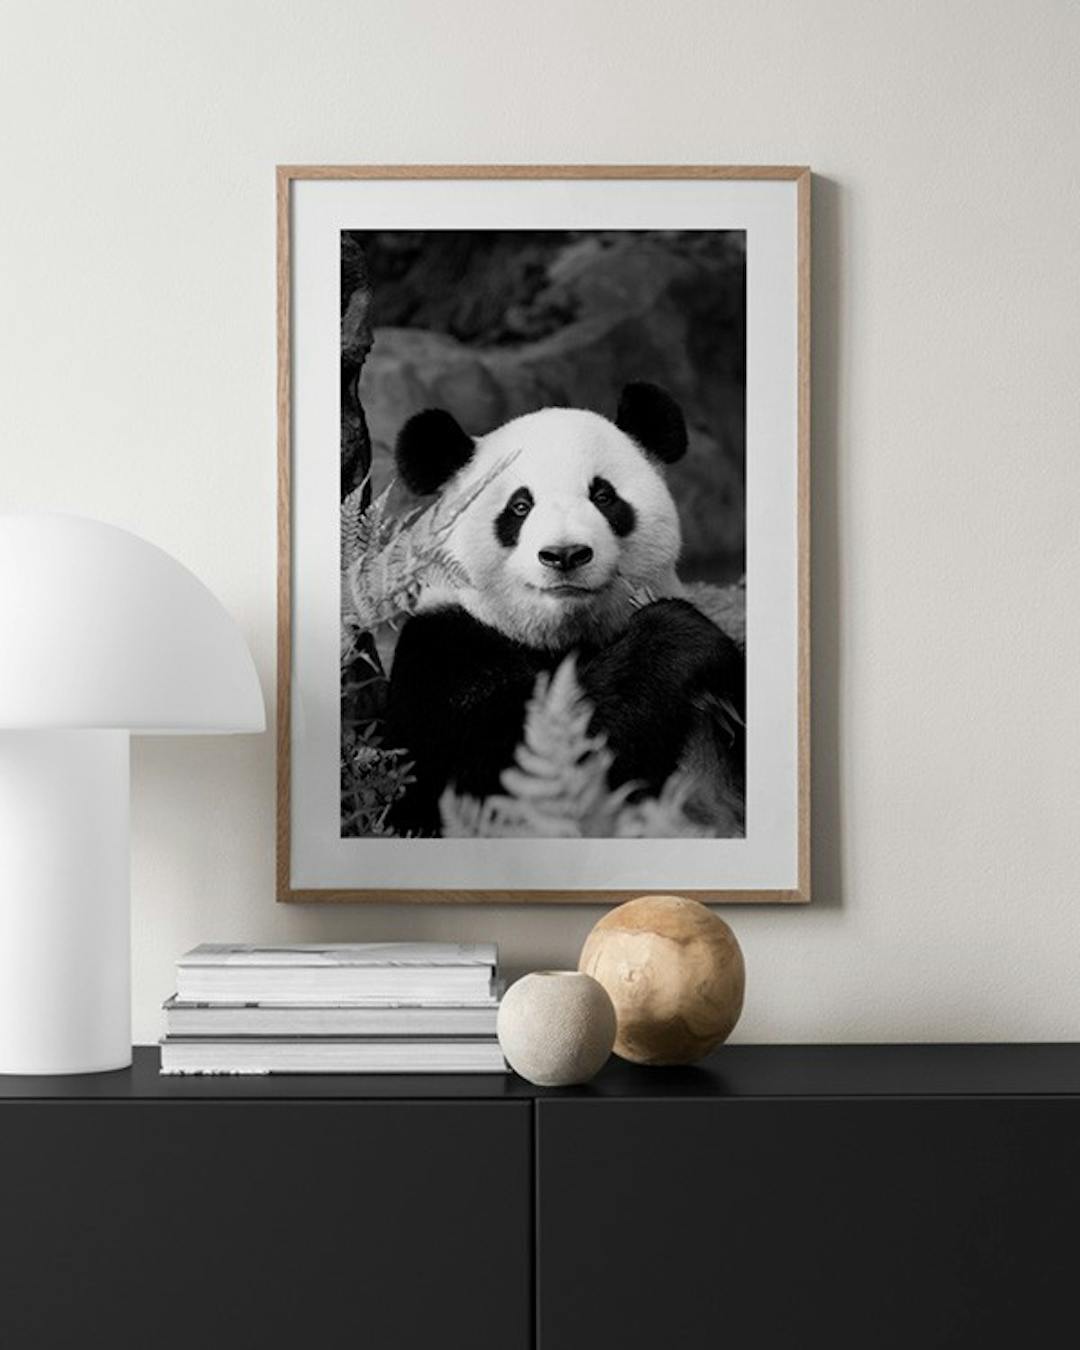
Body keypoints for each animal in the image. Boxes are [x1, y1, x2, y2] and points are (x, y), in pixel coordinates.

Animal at [384, 382, 744, 837]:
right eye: (519, 507)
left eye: (603, 496)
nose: (565, 554)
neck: (563, 636)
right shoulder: (442, 655)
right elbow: (508, 769)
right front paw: (677, 636)